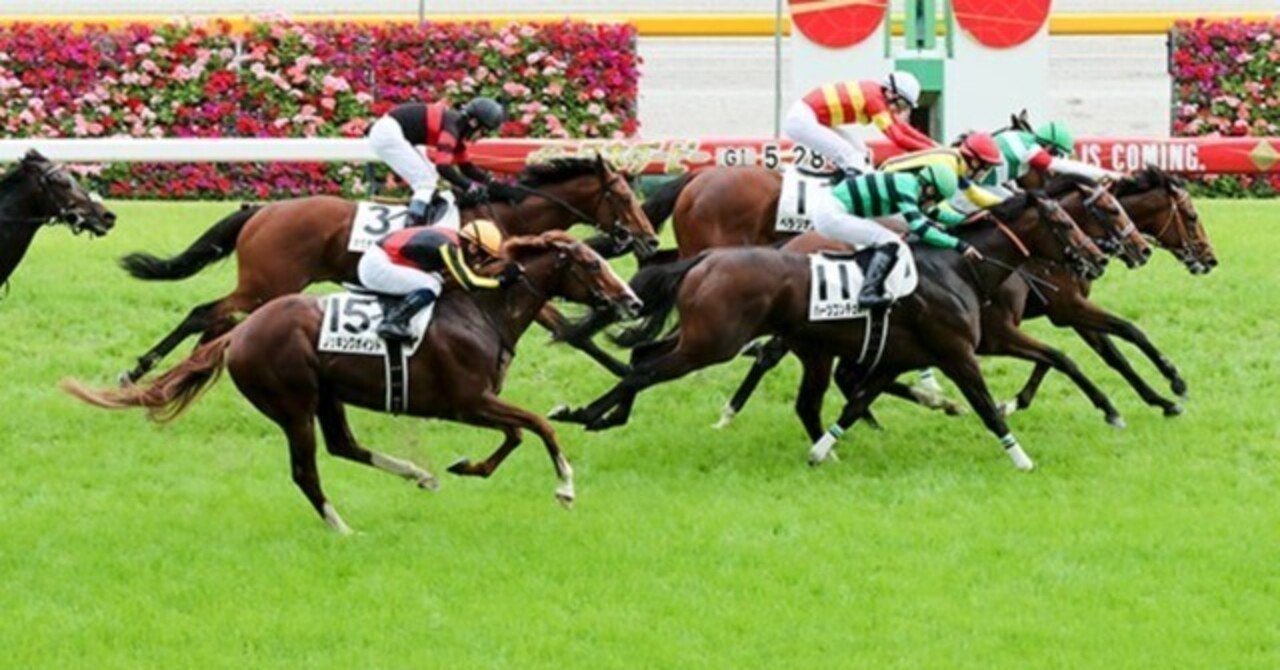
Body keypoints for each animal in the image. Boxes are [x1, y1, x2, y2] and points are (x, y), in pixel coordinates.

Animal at [64, 231, 643, 534]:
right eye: (592, 264)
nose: (632, 302)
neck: (482, 309)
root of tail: (241, 332)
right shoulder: (465, 401)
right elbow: (539, 426)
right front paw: (565, 488)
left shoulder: (476, 403)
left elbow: (519, 433)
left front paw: (465, 466)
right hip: (293, 403)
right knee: (306, 470)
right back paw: (341, 527)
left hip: (326, 395)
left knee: (343, 445)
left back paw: (419, 475)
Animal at [117, 156, 656, 383]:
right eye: (621, 196)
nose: (649, 238)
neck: (507, 216)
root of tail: (264, 210)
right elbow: (573, 332)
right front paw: (630, 372)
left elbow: (569, 330)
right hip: (267, 284)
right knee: (205, 314)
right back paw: (140, 369)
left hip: (265, 288)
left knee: (215, 321)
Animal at [551, 192, 1107, 471]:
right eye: (1063, 223)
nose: (1097, 259)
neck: (960, 268)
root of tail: (705, 258)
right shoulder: (956, 354)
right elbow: (987, 408)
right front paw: (1023, 459)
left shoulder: (897, 356)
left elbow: (858, 401)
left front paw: (824, 450)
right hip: (712, 343)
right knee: (645, 371)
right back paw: (585, 414)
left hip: (720, 338)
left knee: (645, 359)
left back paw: (599, 415)